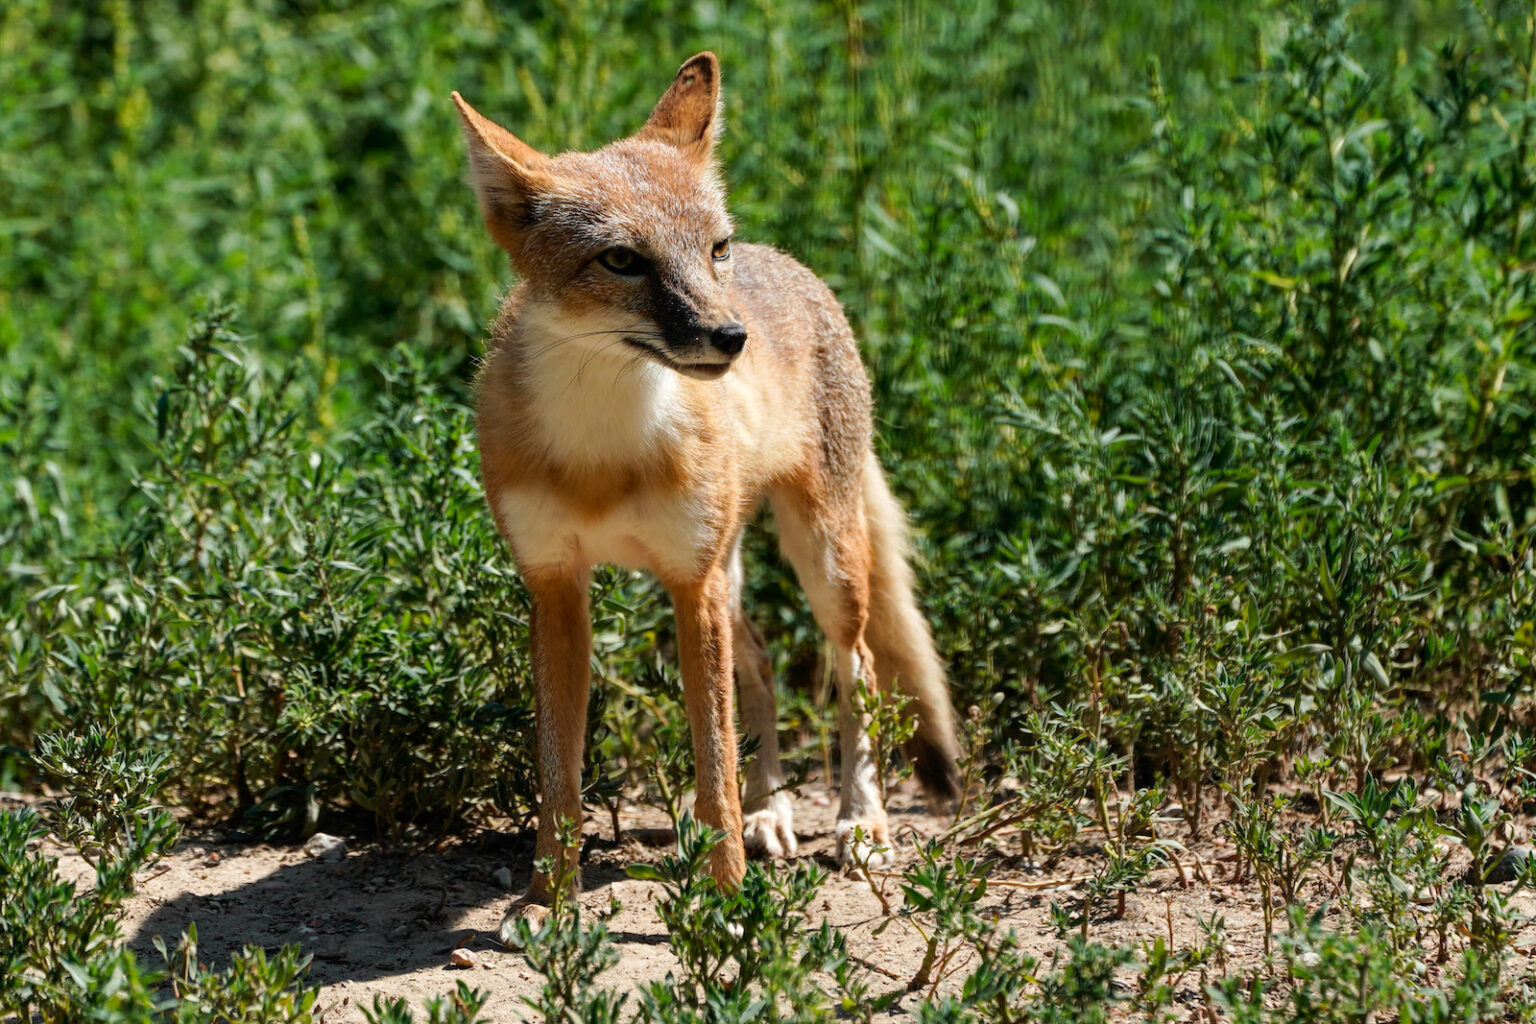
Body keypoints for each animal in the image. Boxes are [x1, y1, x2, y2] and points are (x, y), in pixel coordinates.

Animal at [451, 52, 961, 929]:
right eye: (623, 259)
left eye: (712, 248)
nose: (731, 337)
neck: (603, 452)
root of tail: (791, 262)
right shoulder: (557, 587)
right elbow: (560, 780)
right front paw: (548, 898)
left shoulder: (689, 587)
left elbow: (712, 763)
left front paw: (727, 902)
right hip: (728, 575)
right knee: (760, 666)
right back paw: (771, 810)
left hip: (817, 563)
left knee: (855, 669)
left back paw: (860, 823)